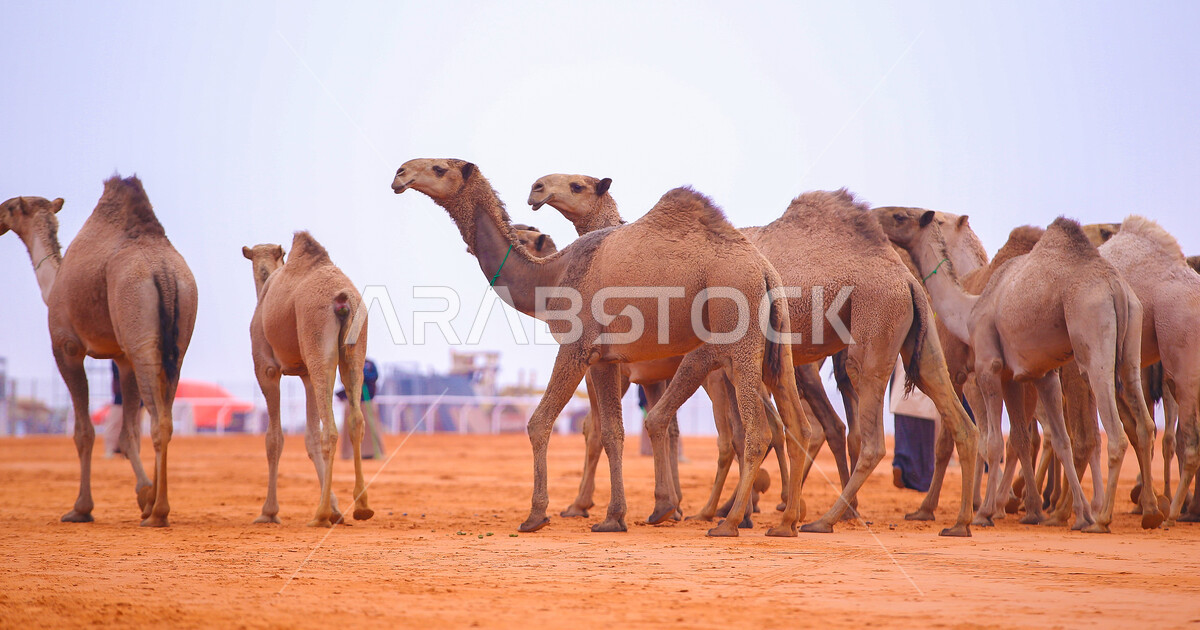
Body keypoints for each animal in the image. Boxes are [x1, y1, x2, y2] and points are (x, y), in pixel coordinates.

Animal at [0, 176, 197, 526]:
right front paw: (144, 495)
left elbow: (84, 432)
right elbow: (128, 433)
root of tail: (162, 271)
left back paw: (158, 514)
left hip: (139, 331)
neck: (53, 283)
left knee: (159, 421)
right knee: (166, 417)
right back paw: (157, 508)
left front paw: (81, 508)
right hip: (177, 337)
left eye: (10, 206)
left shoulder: (67, 348)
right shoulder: (122, 358)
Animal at [242, 233, 373, 527]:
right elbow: (310, 436)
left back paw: (319, 515)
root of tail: (343, 299)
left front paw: (268, 512)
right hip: (354, 348)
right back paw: (361, 506)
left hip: (317, 339)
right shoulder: (304, 374)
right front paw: (337, 509)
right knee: (356, 419)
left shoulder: (267, 369)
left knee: (331, 430)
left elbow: (274, 439)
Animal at [392, 159, 812, 537]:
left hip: (735, 343)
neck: (552, 277)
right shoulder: (605, 360)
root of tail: (764, 269)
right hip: (772, 350)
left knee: (754, 432)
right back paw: (783, 522)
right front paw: (615, 516)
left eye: (439, 168)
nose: (399, 174)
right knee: (796, 425)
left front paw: (538, 514)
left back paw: (729, 521)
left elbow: (541, 423)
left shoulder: (576, 347)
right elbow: (611, 432)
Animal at [527, 178, 978, 536]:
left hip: (863, 333)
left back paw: (816, 516)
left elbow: (618, 426)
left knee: (851, 431)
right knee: (932, 418)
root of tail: (905, 278)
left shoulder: (694, 360)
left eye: (577, 185)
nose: (537, 189)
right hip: (900, 346)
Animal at [876, 210, 1163, 531]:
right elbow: (1034, 440)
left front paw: (980, 512)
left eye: (900, 216)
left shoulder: (984, 370)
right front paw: (1039, 510)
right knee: (1138, 425)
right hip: (1128, 352)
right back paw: (1142, 511)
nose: (874, 215)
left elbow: (988, 441)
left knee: (1108, 434)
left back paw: (1099, 518)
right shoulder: (1032, 375)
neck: (970, 306)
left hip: (1093, 351)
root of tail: (1115, 287)